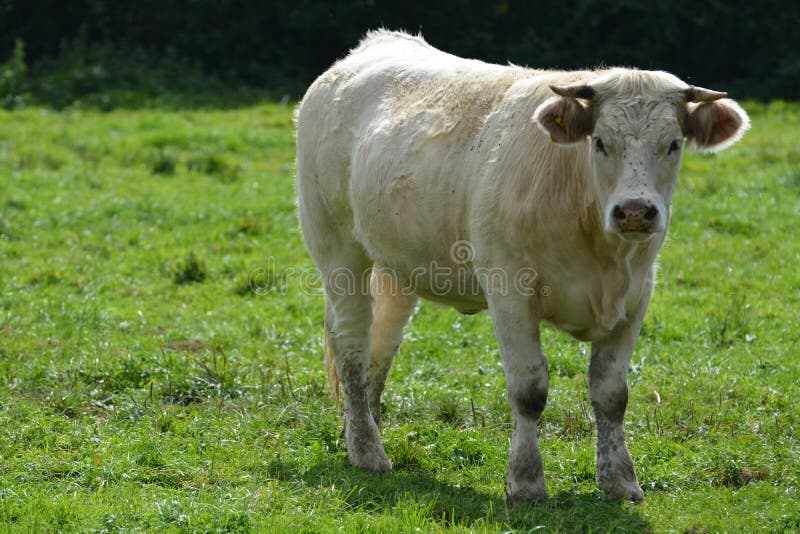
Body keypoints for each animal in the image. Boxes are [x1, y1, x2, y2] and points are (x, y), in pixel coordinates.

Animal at [294, 30, 749, 503]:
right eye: (600, 142)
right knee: (351, 347)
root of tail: (375, 44)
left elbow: (612, 394)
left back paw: (361, 432)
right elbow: (530, 389)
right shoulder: (510, 292)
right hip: (338, 251)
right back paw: (368, 451)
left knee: (380, 349)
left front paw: (620, 480)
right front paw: (527, 480)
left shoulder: (636, 298)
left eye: (673, 144)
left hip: (399, 265)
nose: (636, 212)